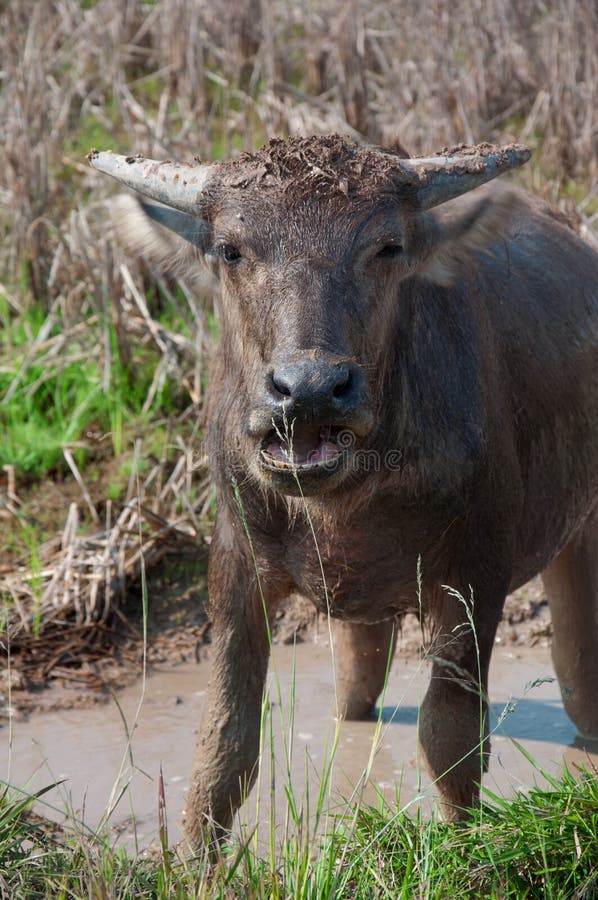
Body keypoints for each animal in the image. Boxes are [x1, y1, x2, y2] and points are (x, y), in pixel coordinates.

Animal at [89, 135, 598, 847]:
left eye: (387, 246)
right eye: (231, 250)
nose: (308, 390)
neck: (342, 502)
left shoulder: (473, 579)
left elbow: (451, 740)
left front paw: (464, 848)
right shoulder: (236, 565)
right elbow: (224, 746)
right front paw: (189, 860)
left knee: (578, 672)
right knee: (357, 689)